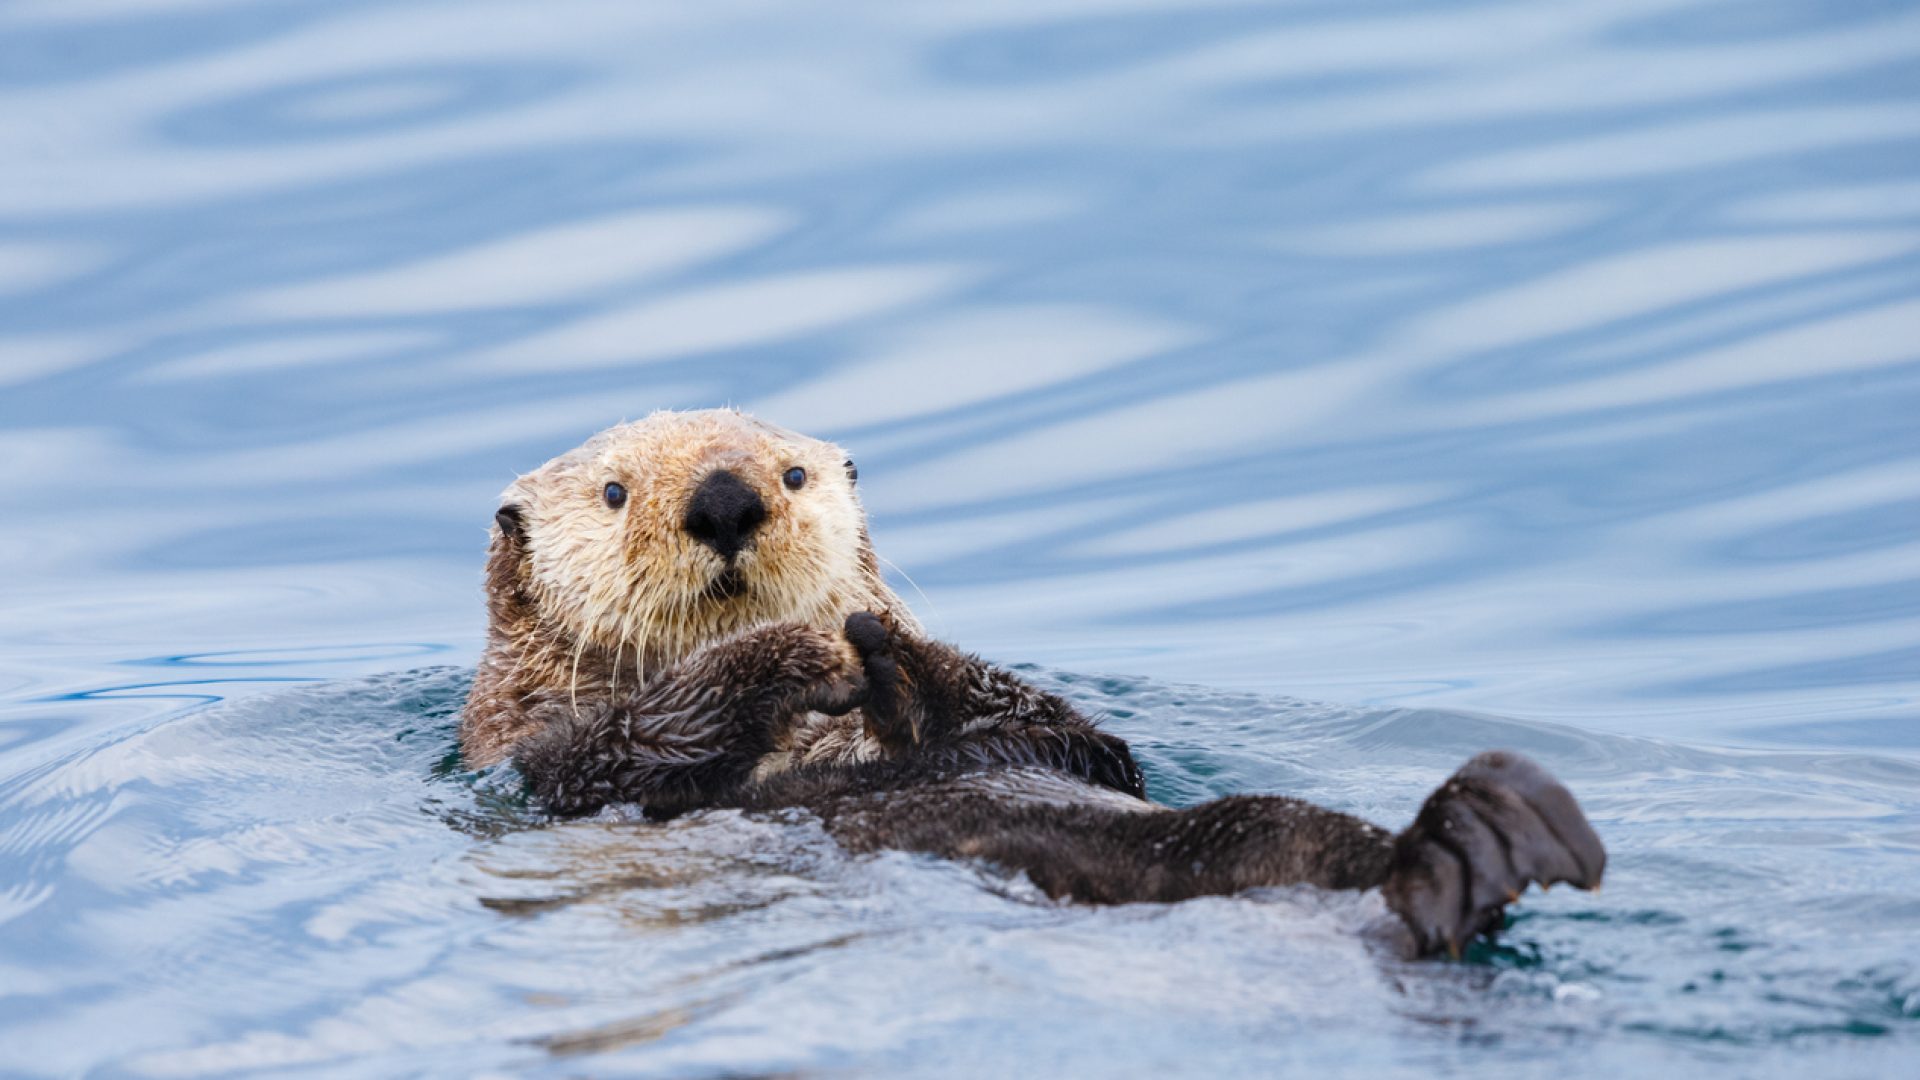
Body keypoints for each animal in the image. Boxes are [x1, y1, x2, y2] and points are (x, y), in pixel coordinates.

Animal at [463, 409, 1604, 957]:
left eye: (792, 474)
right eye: (615, 493)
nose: (725, 498)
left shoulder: (1069, 744)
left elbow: (1073, 738)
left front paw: (886, 649)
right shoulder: (541, 763)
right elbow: (631, 745)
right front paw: (801, 655)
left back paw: (1491, 832)